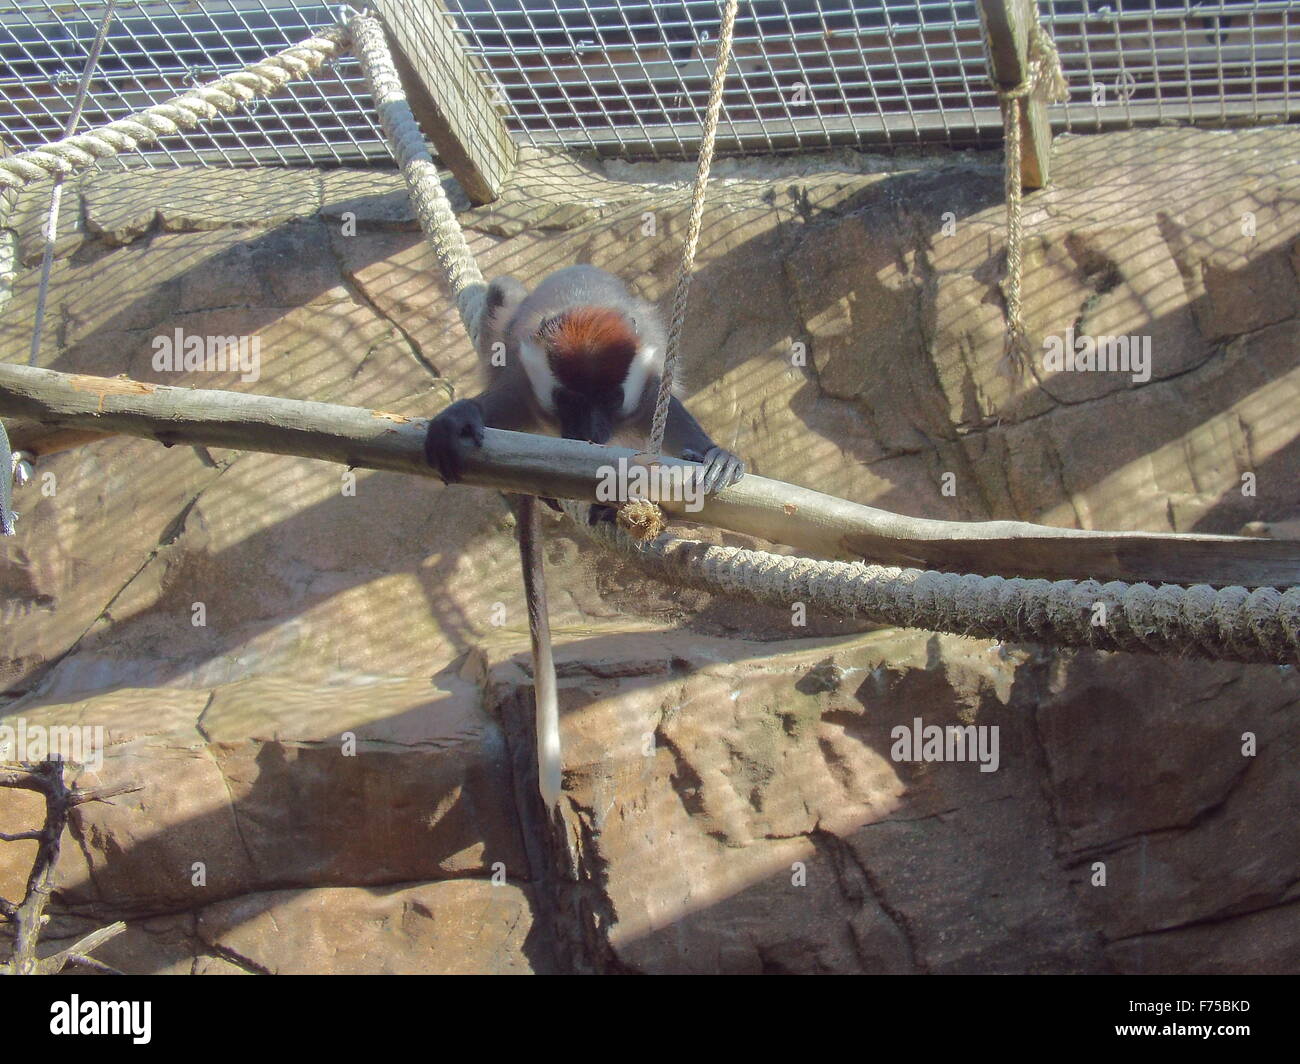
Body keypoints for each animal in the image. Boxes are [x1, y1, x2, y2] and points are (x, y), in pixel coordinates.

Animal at [425, 265, 745, 810]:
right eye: (570, 401)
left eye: (608, 400)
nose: (590, 431)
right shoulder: (523, 383)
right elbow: (494, 401)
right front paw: (459, 417)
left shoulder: (646, 388)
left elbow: (672, 417)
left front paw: (713, 453)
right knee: (502, 294)